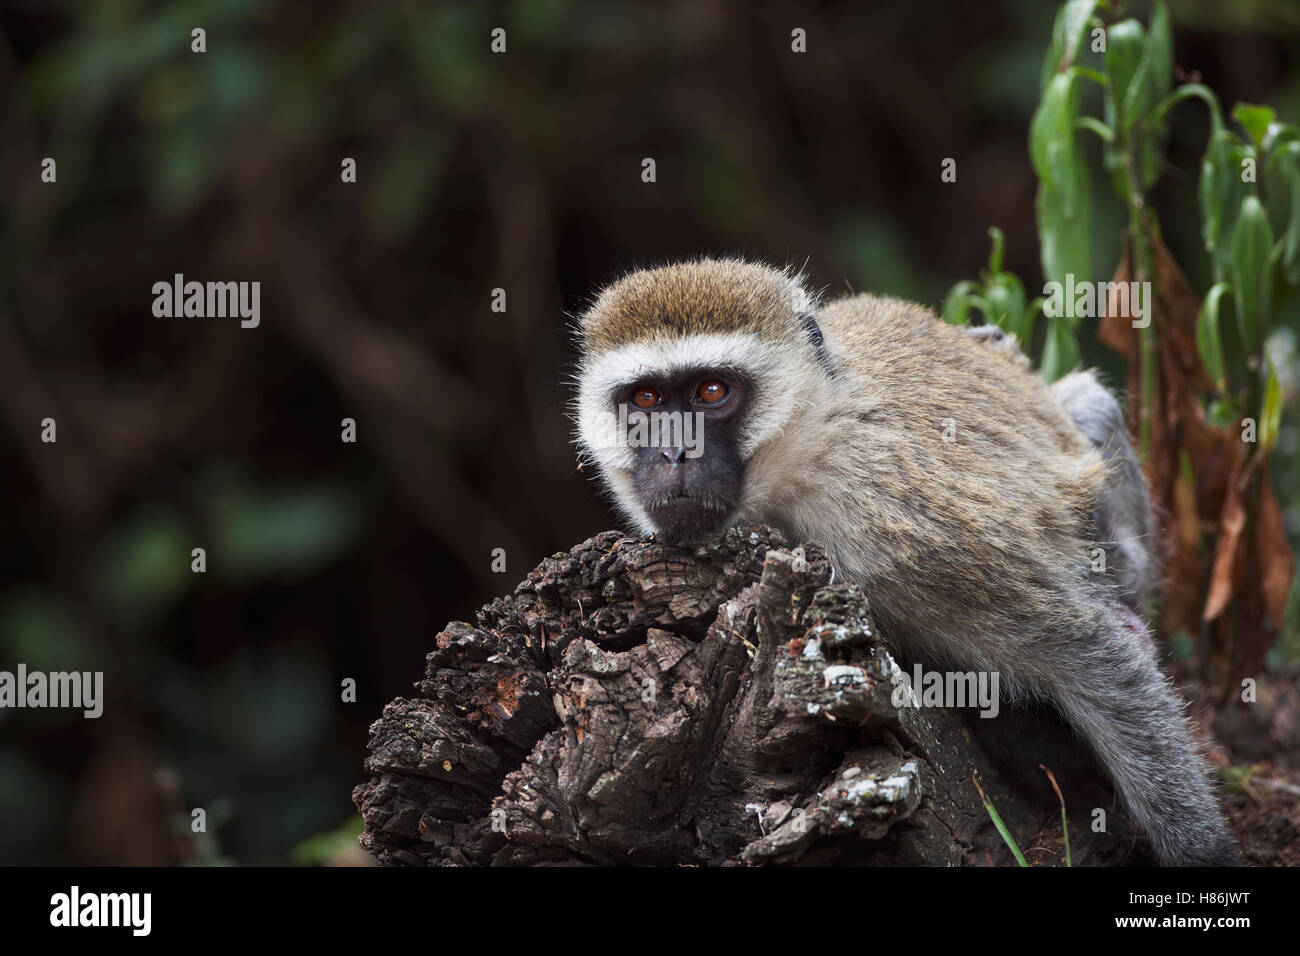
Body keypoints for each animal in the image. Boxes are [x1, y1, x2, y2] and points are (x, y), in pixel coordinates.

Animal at [572, 257, 1237, 867]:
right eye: (647, 399)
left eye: (712, 392)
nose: (675, 451)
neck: (811, 451)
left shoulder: (904, 534)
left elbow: (1095, 658)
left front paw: (1204, 852)